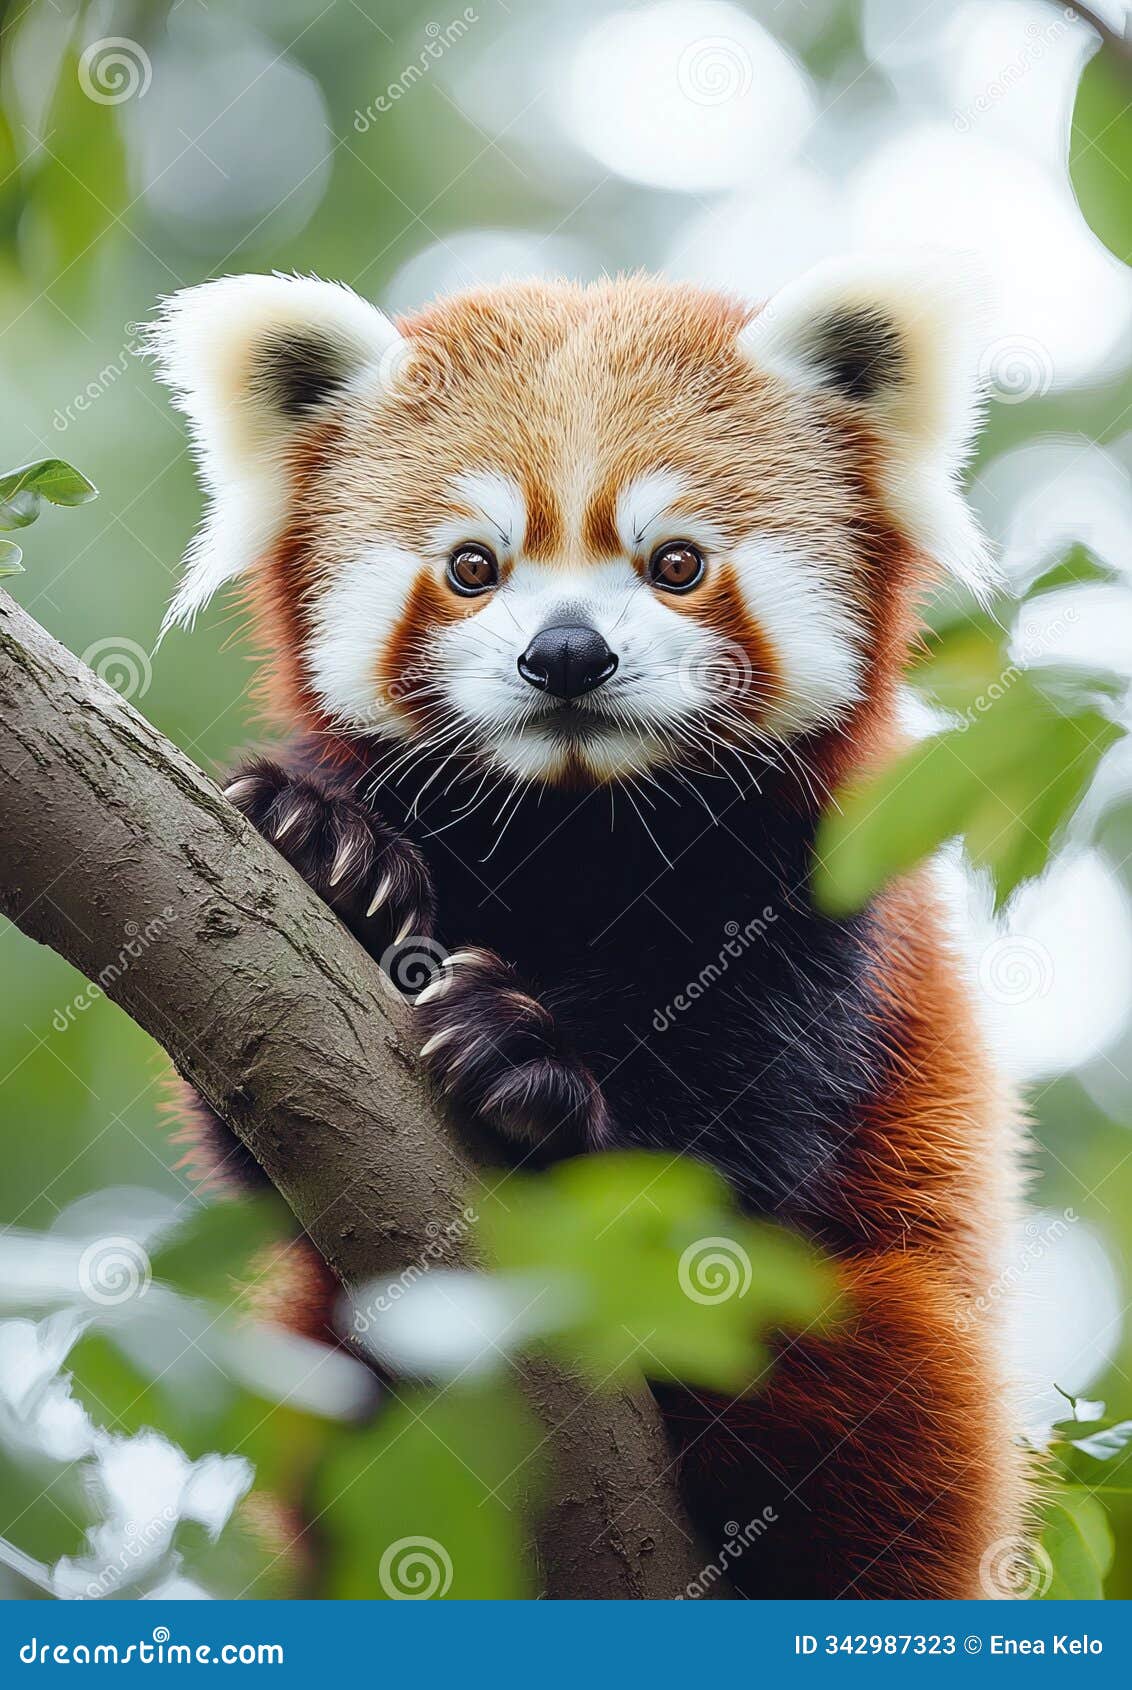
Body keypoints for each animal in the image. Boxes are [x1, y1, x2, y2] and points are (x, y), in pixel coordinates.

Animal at [148, 261, 1028, 1599]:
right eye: (473, 565)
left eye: (674, 562)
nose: (567, 652)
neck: (577, 823)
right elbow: (262, 1130)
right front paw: (329, 848)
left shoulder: (821, 908)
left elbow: (731, 1132)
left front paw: (529, 1062)